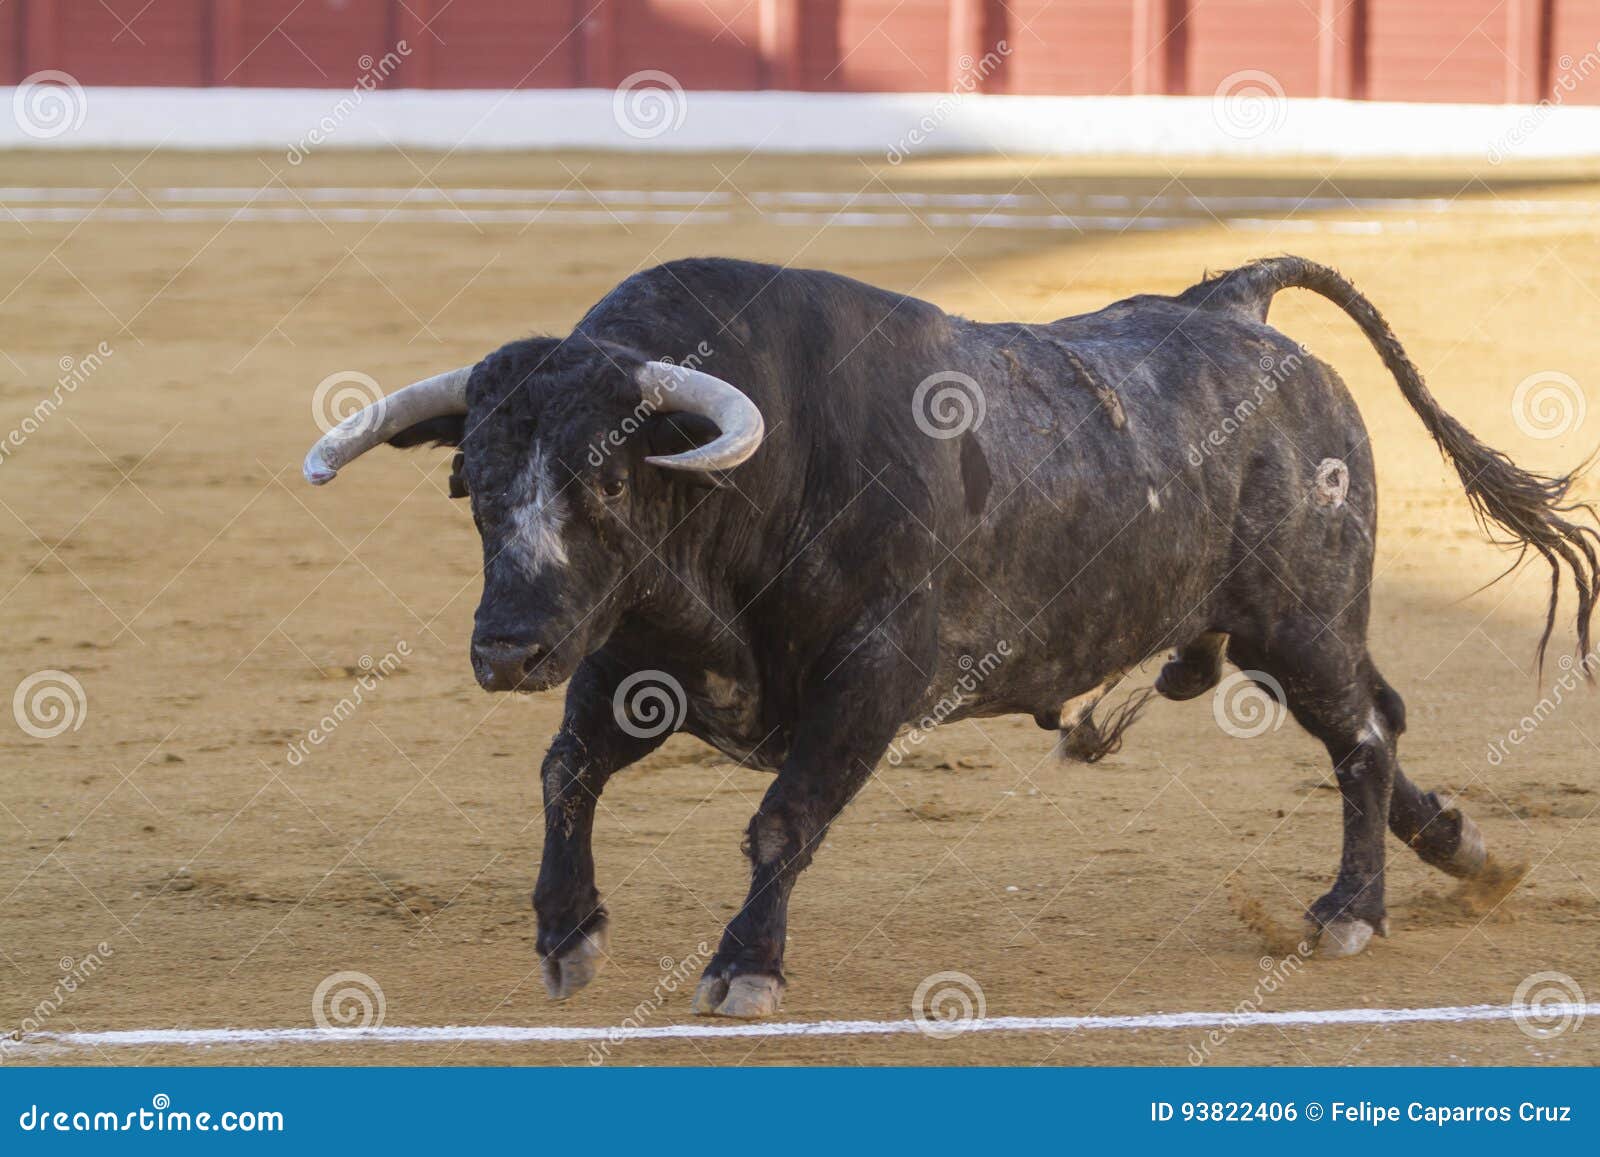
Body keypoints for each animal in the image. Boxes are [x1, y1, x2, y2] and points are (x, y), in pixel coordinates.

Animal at [304, 255, 1598, 1018]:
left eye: (607, 482)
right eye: (469, 485)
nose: (507, 650)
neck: (754, 477)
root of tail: (1232, 307)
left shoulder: (873, 678)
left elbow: (781, 819)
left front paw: (745, 964)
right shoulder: (634, 656)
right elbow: (567, 767)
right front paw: (567, 930)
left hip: (1298, 617)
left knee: (1361, 736)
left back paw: (1349, 912)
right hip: (1285, 629)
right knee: (1378, 720)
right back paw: (1466, 851)